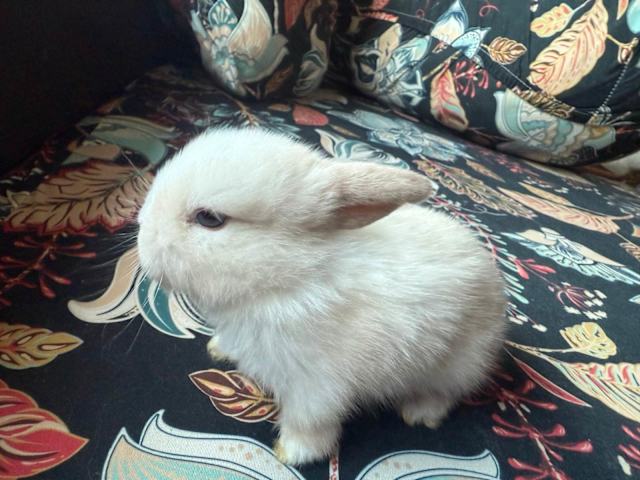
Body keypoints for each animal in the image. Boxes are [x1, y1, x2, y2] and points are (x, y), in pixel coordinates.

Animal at [137, 127, 508, 466]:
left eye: (209, 219)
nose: (142, 235)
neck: (289, 275)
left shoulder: (316, 386)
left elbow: (309, 422)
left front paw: (292, 453)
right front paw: (218, 349)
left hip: (456, 364)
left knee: (446, 393)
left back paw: (419, 414)